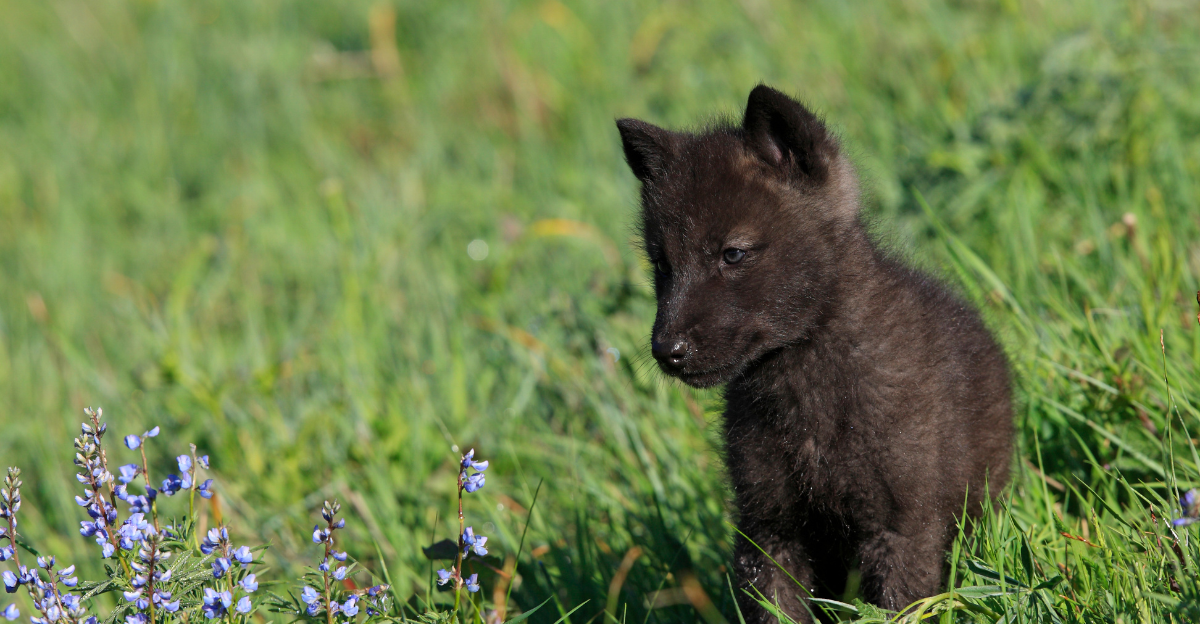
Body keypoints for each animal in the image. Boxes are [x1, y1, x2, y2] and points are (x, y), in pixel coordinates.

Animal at [616, 85, 1013, 622]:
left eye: (733, 254)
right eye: (662, 264)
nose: (666, 350)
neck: (804, 387)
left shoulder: (900, 529)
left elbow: (899, 607)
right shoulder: (769, 530)